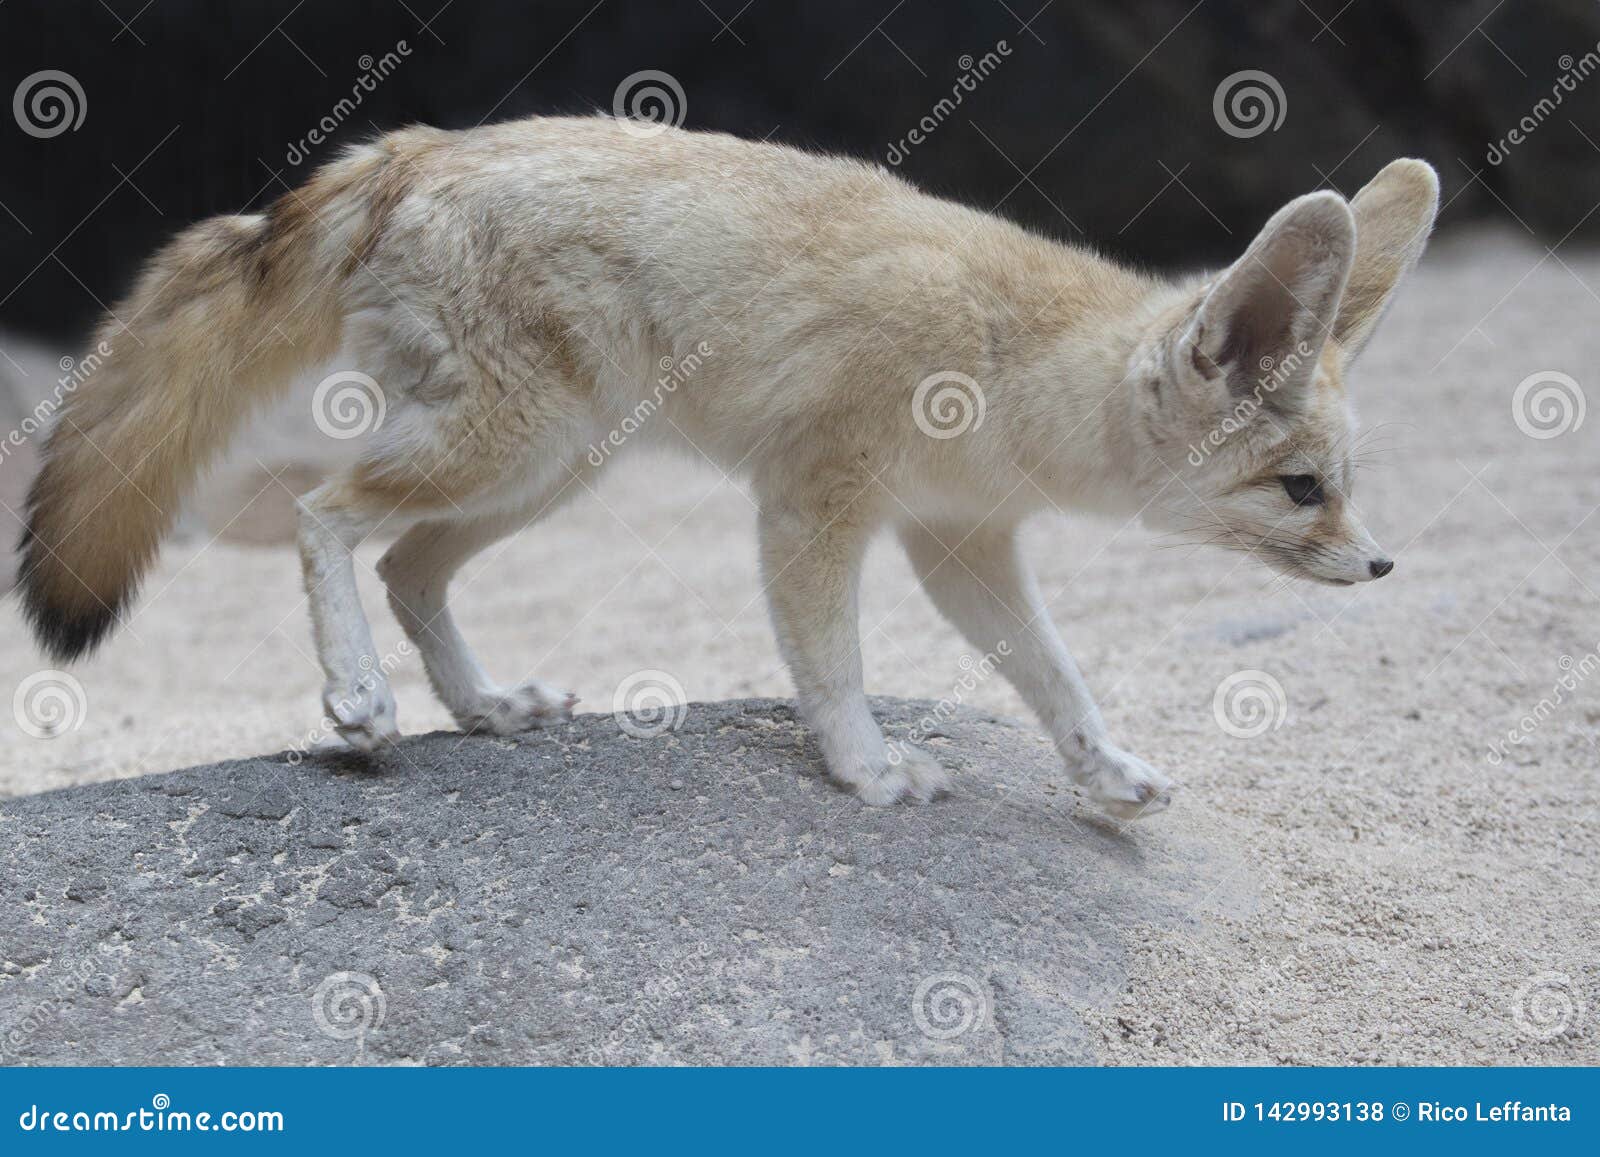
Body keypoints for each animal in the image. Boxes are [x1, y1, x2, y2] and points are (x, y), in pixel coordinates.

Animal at [16, 116, 1438, 819]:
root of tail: (408, 150)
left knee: (411, 567)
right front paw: (866, 770)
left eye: (1344, 484)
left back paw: (482, 707)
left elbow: (1055, 675)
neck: (1011, 357)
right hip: (515, 448)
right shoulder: (814, 503)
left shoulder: (959, 541)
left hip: (547, 471)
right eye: (1303, 488)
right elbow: (832, 665)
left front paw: (1103, 774)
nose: (1381, 565)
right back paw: (361, 699)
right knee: (322, 511)